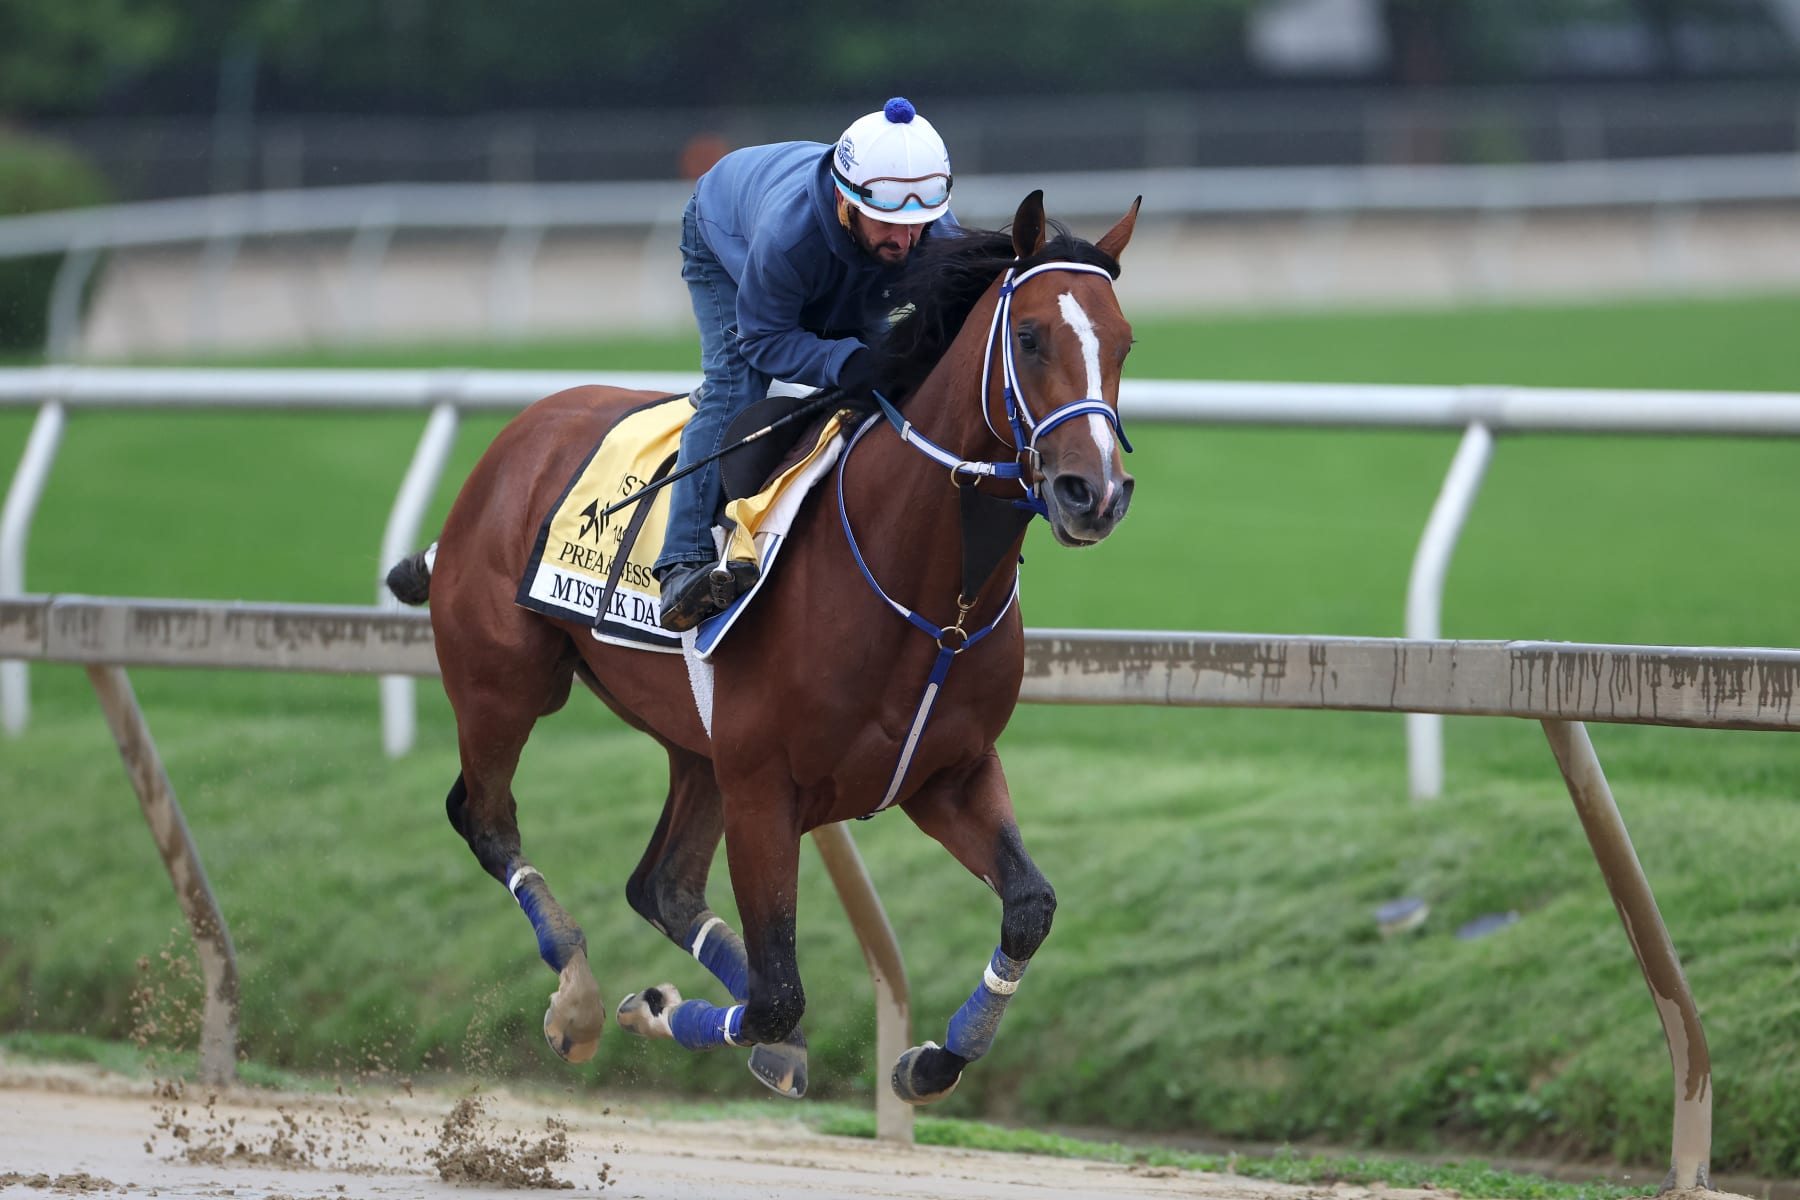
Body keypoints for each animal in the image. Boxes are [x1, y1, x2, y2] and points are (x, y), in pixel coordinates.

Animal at [385, 189, 1139, 1104]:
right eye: (1029, 337)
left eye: (1125, 342)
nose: (1092, 493)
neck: (929, 594)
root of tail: (513, 437)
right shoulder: (764, 789)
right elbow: (779, 994)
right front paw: (654, 1009)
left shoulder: (945, 775)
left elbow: (1029, 907)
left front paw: (931, 1059)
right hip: (506, 685)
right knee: (487, 820)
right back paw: (579, 998)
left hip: (695, 746)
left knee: (663, 885)